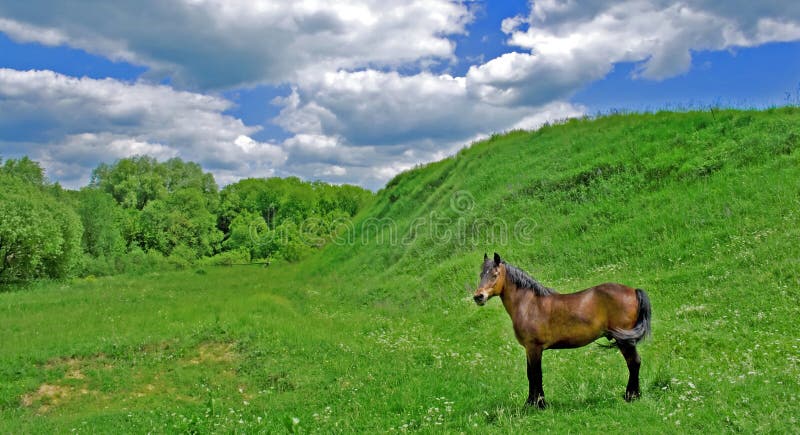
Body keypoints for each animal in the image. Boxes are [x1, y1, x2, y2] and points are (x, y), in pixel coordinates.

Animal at [472, 253, 651, 408]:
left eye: (495, 274)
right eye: (481, 274)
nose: (478, 297)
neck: (529, 304)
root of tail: (634, 290)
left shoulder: (534, 348)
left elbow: (536, 374)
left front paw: (539, 404)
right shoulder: (529, 349)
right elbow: (531, 374)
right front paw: (530, 403)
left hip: (625, 341)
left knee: (634, 362)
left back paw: (631, 396)